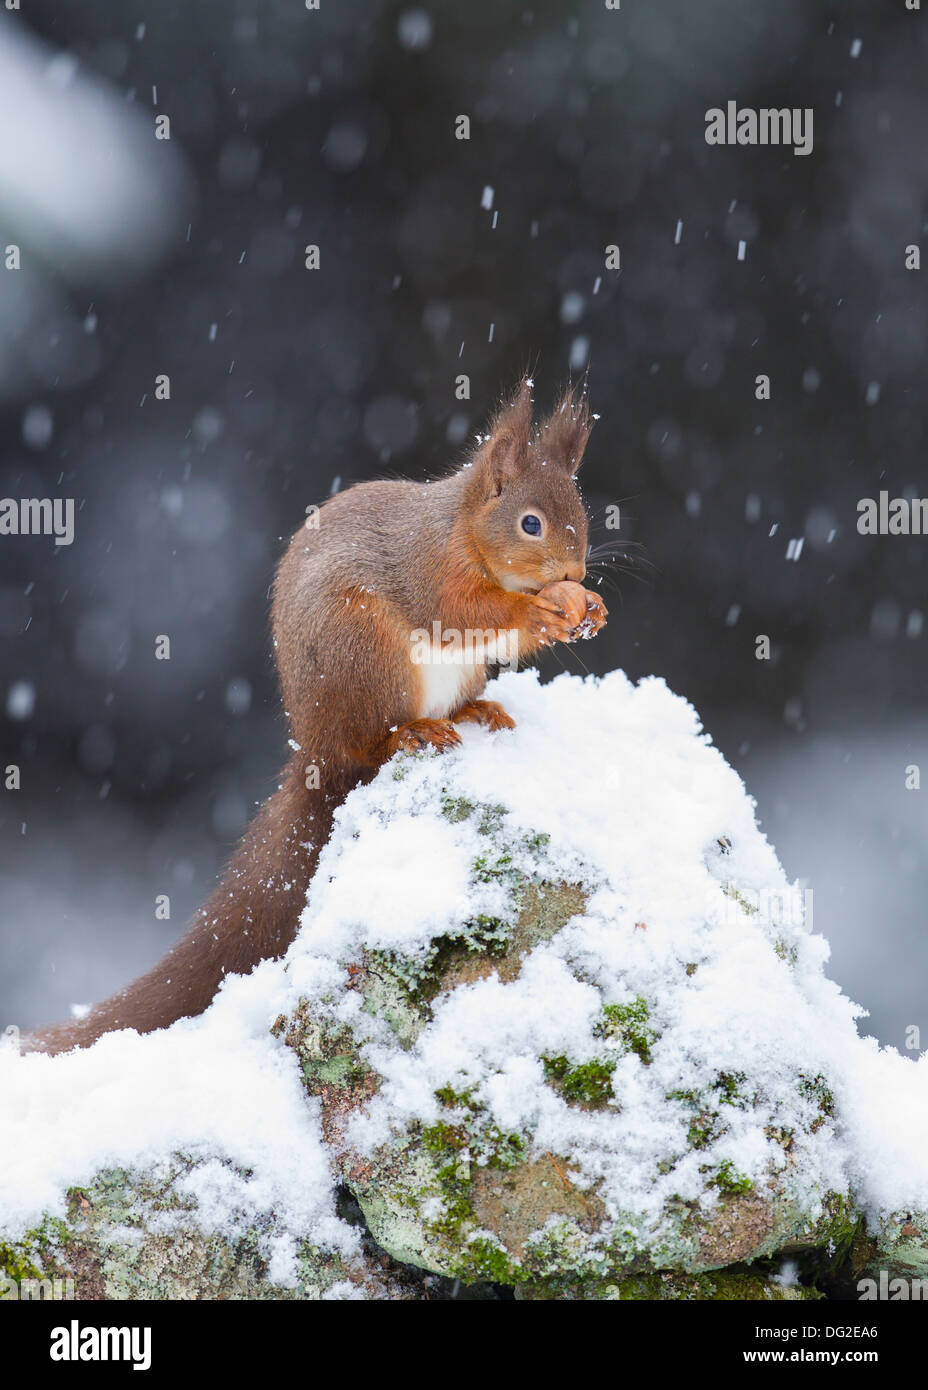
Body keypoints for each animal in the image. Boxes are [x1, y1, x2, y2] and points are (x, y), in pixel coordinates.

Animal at [27, 376, 607, 1054]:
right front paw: (536, 613)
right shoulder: (430, 570)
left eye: (583, 516)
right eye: (530, 524)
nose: (575, 573)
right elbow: (464, 612)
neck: (461, 529)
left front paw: (588, 609)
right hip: (363, 652)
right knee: (370, 744)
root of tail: (315, 749)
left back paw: (478, 709)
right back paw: (412, 732)